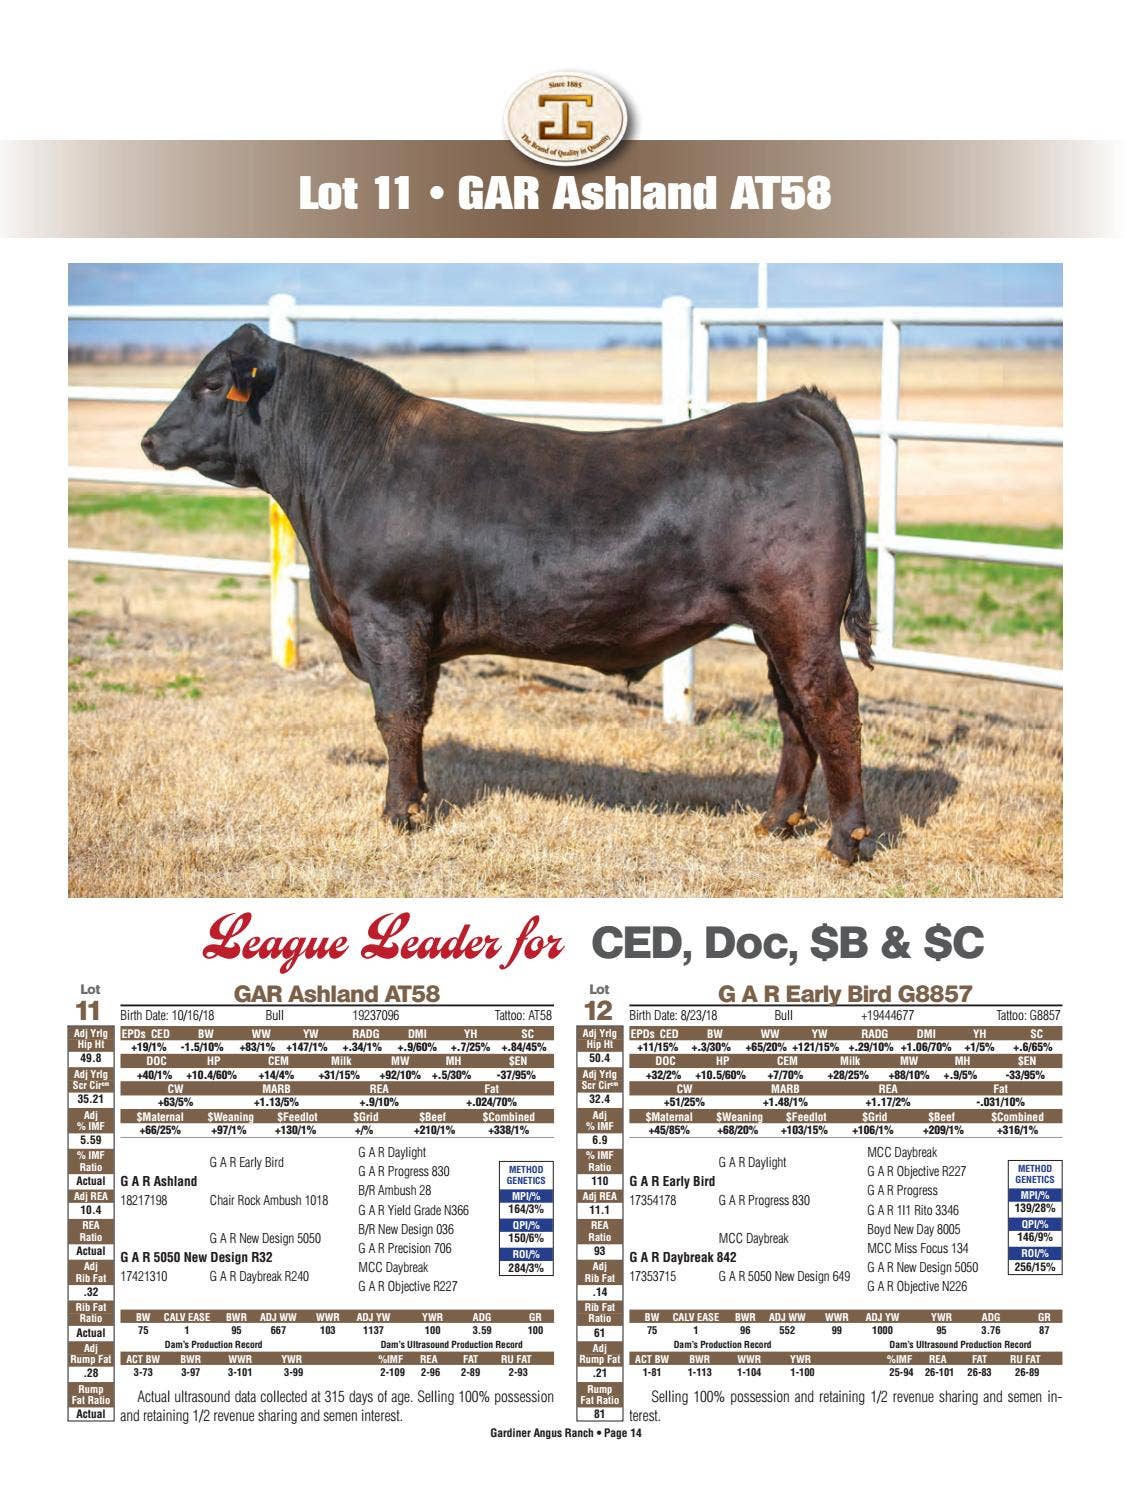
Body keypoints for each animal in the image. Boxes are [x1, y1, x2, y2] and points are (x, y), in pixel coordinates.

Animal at [142, 323, 876, 864]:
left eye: (212, 382)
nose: (150, 439)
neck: (342, 466)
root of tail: (785, 404)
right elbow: (415, 716)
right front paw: (420, 801)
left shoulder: (389, 615)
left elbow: (397, 716)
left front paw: (399, 813)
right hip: (774, 625)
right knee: (793, 713)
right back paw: (775, 822)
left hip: (798, 616)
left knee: (830, 705)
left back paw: (845, 841)